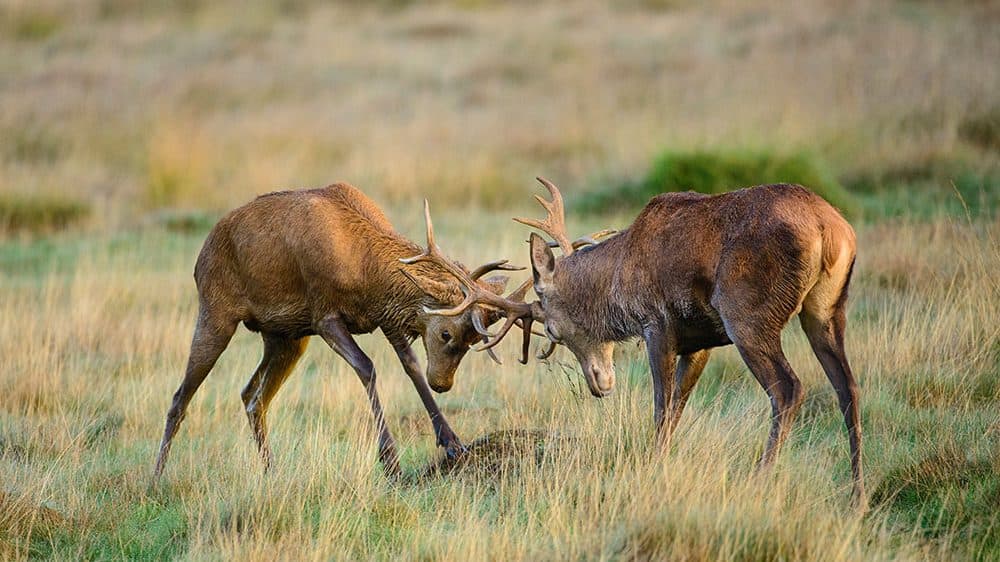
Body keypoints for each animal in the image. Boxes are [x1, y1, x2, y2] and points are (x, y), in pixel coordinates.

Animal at [152, 182, 526, 480]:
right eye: (447, 334)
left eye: (473, 339)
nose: (444, 383)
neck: (367, 273)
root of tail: (200, 256)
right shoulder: (325, 315)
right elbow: (367, 368)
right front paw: (390, 462)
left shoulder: (385, 316)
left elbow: (411, 366)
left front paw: (452, 442)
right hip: (216, 313)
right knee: (180, 397)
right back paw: (156, 479)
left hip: (286, 337)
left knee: (251, 395)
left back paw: (271, 471)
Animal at [421, 177, 865, 507]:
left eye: (552, 331)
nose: (600, 384)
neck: (619, 280)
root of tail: (833, 233)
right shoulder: (701, 341)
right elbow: (677, 408)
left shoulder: (657, 324)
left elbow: (661, 408)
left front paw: (653, 470)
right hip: (827, 310)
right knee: (848, 386)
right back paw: (856, 493)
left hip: (748, 313)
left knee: (788, 388)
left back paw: (760, 480)